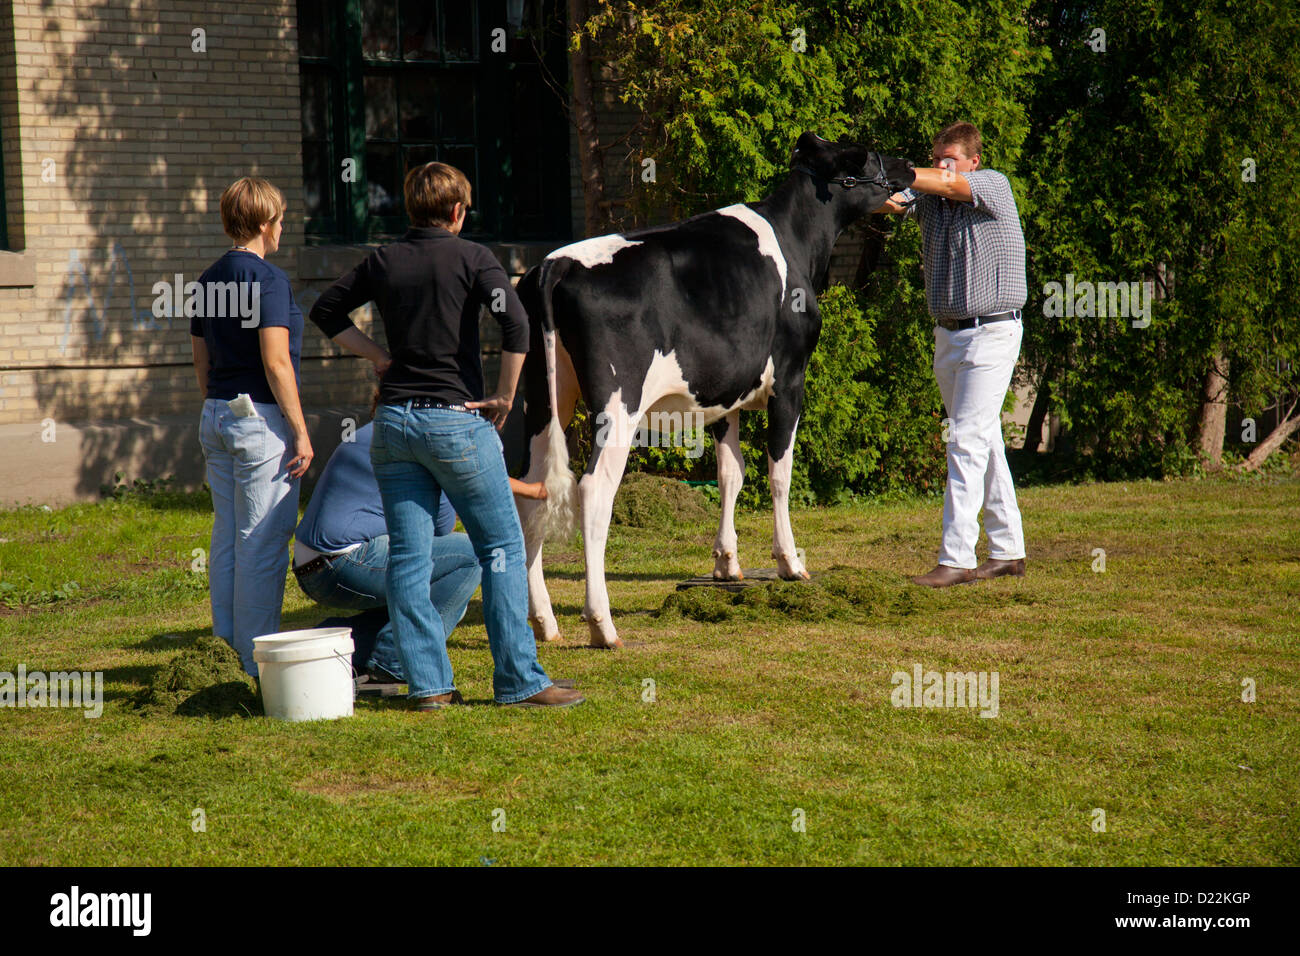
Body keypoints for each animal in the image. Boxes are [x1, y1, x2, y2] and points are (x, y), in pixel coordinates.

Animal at [514, 131, 917, 648]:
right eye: (867, 156)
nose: (911, 165)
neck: (797, 239)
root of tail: (555, 264)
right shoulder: (790, 380)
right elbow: (779, 473)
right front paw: (790, 563)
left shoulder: (728, 394)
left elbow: (731, 473)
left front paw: (727, 564)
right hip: (617, 404)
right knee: (594, 491)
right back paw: (602, 624)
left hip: (544, 399)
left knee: (533, 489)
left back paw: (544, 621)